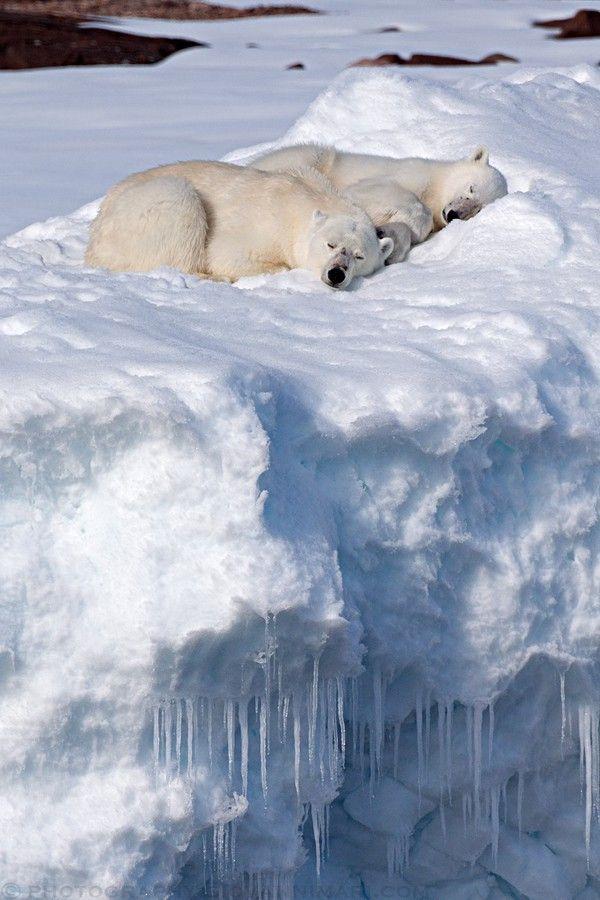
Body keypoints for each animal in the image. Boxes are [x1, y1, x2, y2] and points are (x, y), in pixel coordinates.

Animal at [84, 159, 394, 288]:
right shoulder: (264, 225)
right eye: (330, 244)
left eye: (359, 256)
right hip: (150, 209)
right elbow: (228, 256)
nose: (336, 273)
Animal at [251, 144, 508, 264]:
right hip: (311, 158)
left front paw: (388, 239)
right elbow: (380, 191)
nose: (454, 213)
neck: (436, 184)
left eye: (478, 208)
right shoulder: (408, 175)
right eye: (471, 188)